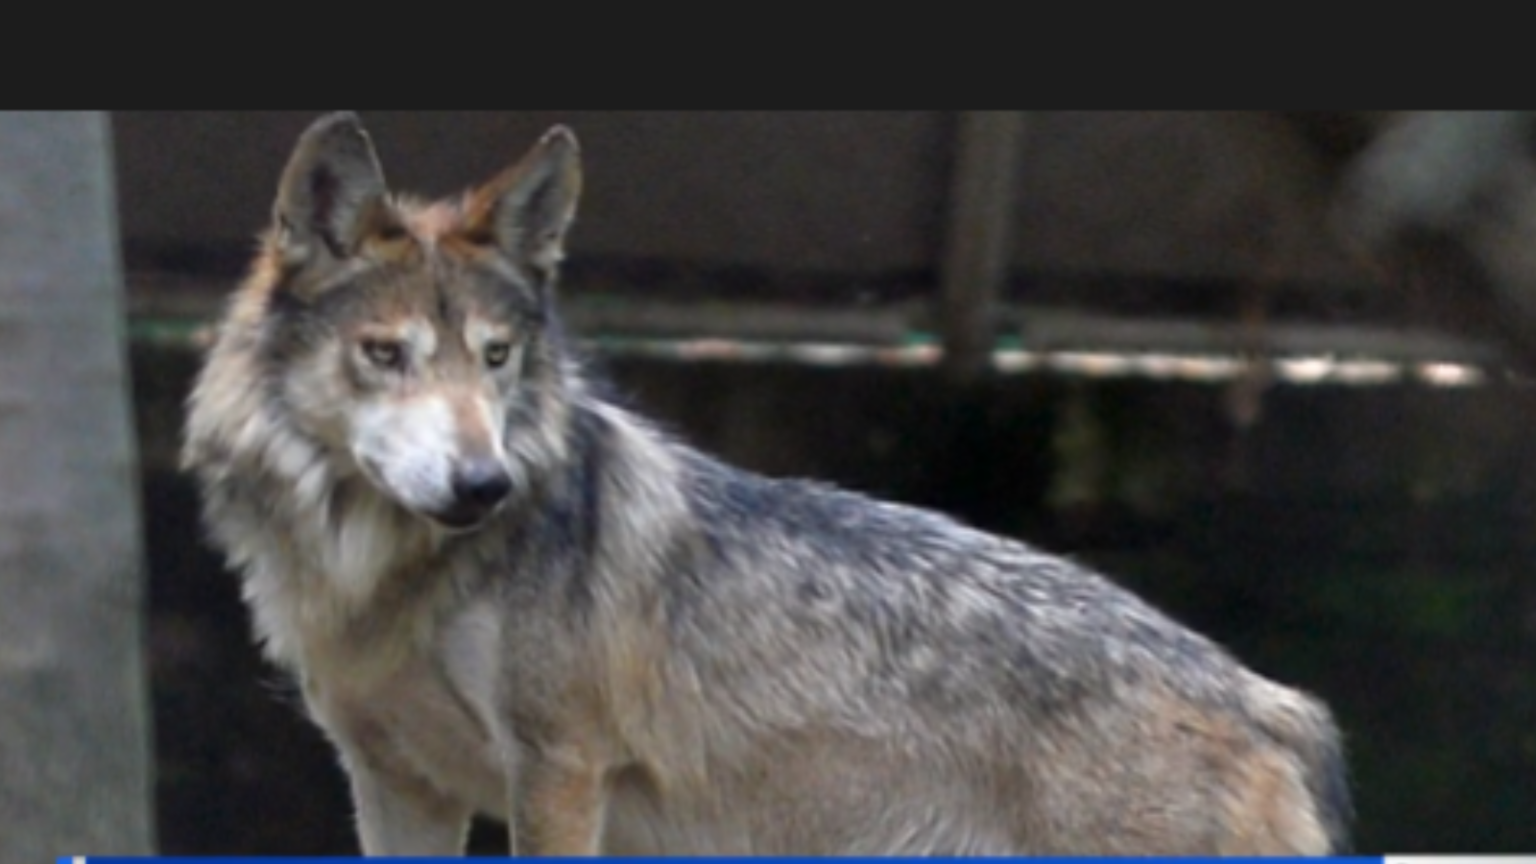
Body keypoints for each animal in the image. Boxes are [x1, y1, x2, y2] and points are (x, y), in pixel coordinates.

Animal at [181, 112, 1352, 856]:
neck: (385, 574)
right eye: (386, 355)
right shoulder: (395, 785)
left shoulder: (559, 772)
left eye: (497, 358)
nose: (484, 484)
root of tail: (1273, 704)